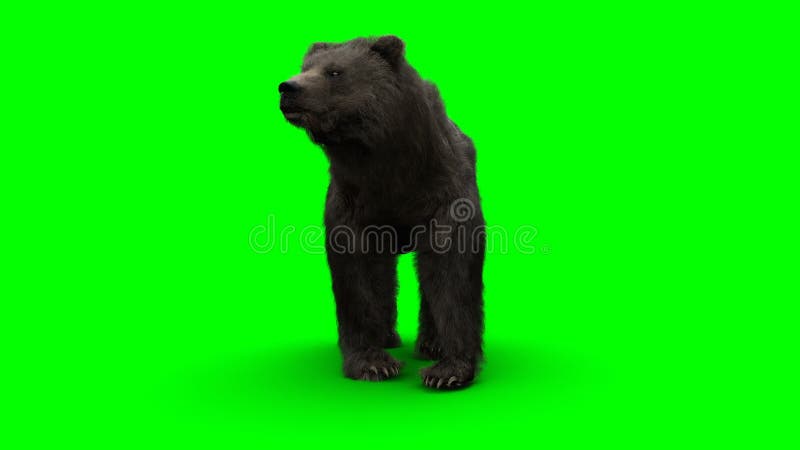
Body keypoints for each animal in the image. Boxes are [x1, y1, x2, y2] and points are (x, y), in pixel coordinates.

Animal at [278, 36, 485, 390]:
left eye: (335, 72)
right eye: (304, 67)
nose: (288, 87)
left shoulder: (445, 189)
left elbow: (451, 269)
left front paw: (447, 371)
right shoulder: (354, 202)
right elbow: (358, 274)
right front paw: (372, 363)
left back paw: (430, 345)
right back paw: (388, 338)